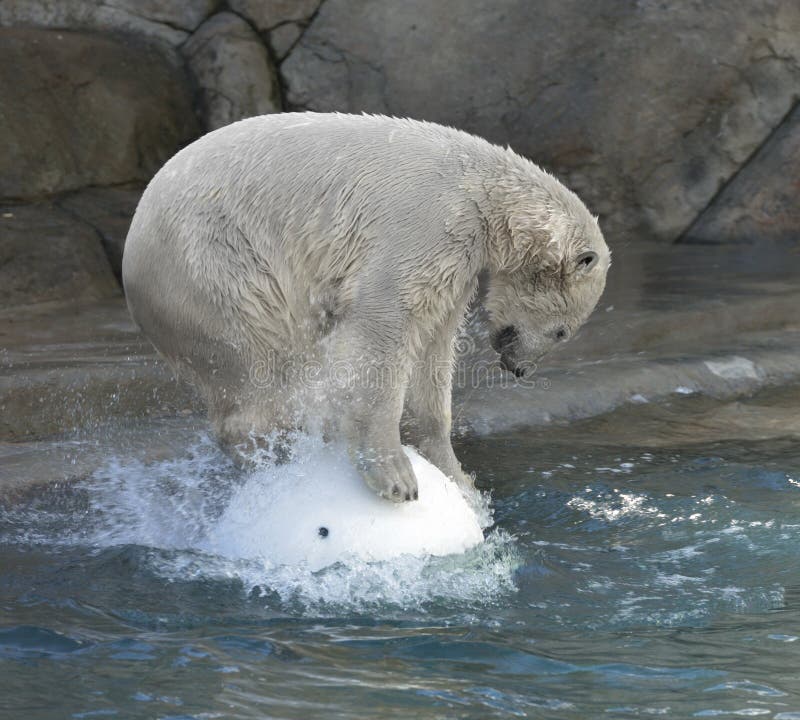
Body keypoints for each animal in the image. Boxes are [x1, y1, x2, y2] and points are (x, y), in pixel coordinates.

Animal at [122, 112, 610, 502]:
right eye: (563, 331)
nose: (519, 368)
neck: (483, 190)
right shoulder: (428, 224)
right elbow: (385, 324)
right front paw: (396, 476)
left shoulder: (459, 266)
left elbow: (434, 348)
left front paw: (460, 480)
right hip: (216, 265)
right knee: (257, 366)